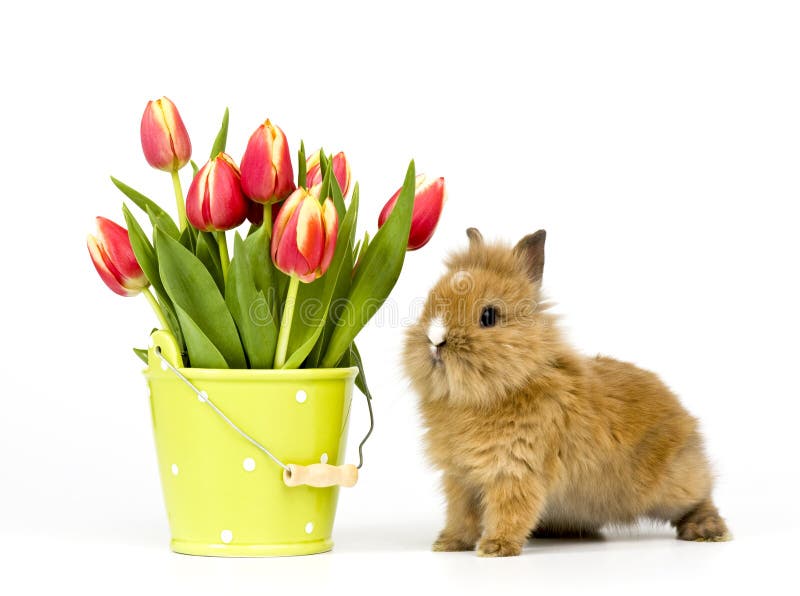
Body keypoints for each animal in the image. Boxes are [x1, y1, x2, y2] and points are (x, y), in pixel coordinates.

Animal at [402, 228, 730, 557]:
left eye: (489, 316)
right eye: (429, 303)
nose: (435, 339)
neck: (508, 386)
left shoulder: (516, 471)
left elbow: (510, 511)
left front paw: (495, 548)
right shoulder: (460, 479)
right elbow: (461, 516)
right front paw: (448, 544)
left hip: (673, 484)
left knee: (701, 497)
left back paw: (707, 531)